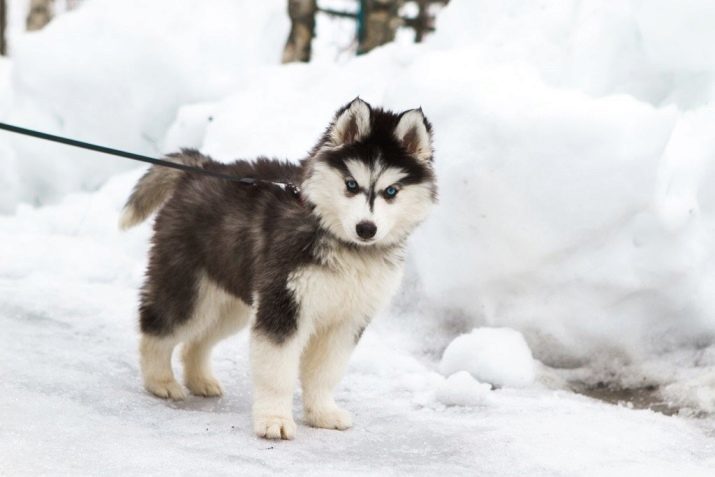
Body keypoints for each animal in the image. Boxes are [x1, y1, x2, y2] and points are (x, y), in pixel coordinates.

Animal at [119, 97, 436, 438]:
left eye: (391, 191)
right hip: (190, 290)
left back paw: (200, 380)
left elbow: (325, 372)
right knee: (158, 327)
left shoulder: (346, 319)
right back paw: (161, 381)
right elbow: (277, 372)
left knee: (197, 341)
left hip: (232, 302)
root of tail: (202, 169)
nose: (366, 228)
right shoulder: (285, 306)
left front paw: (322, 413)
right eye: (351, 184)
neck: (342, 242)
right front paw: (274, 419)